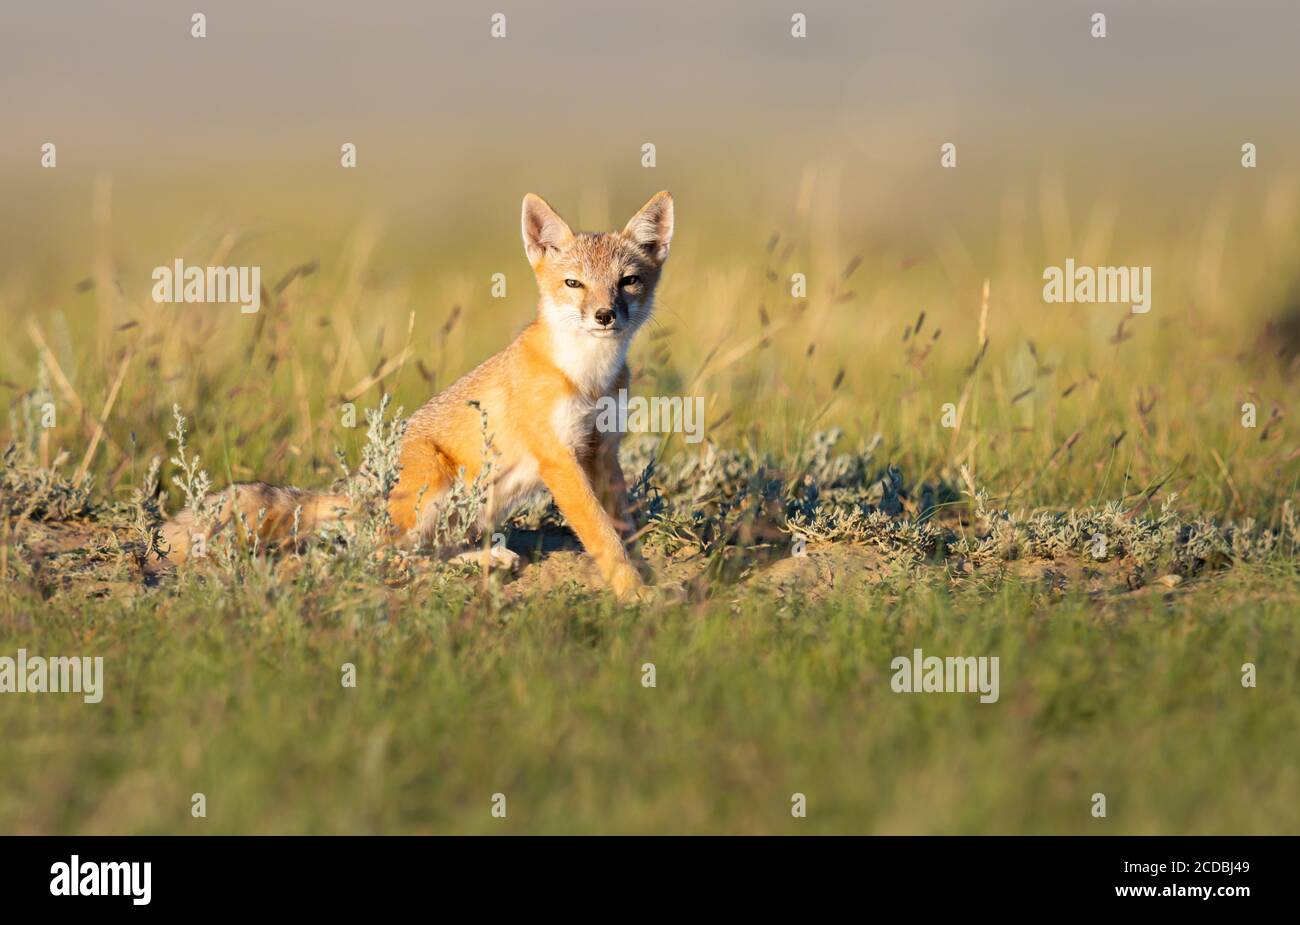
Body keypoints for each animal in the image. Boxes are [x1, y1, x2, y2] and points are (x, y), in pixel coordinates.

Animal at [159, 191, 675, 599]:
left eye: (628, 281)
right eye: (574, 283)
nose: (605, 315)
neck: (589, 376)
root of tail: (358, 488)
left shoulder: (602, 452)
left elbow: (624, 530)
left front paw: (645, 576)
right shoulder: (560, 459)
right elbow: (602, 535)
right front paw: (635, 593)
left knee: (428, 550)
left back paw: (484, 559)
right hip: (433, 484)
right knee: (382, 556)